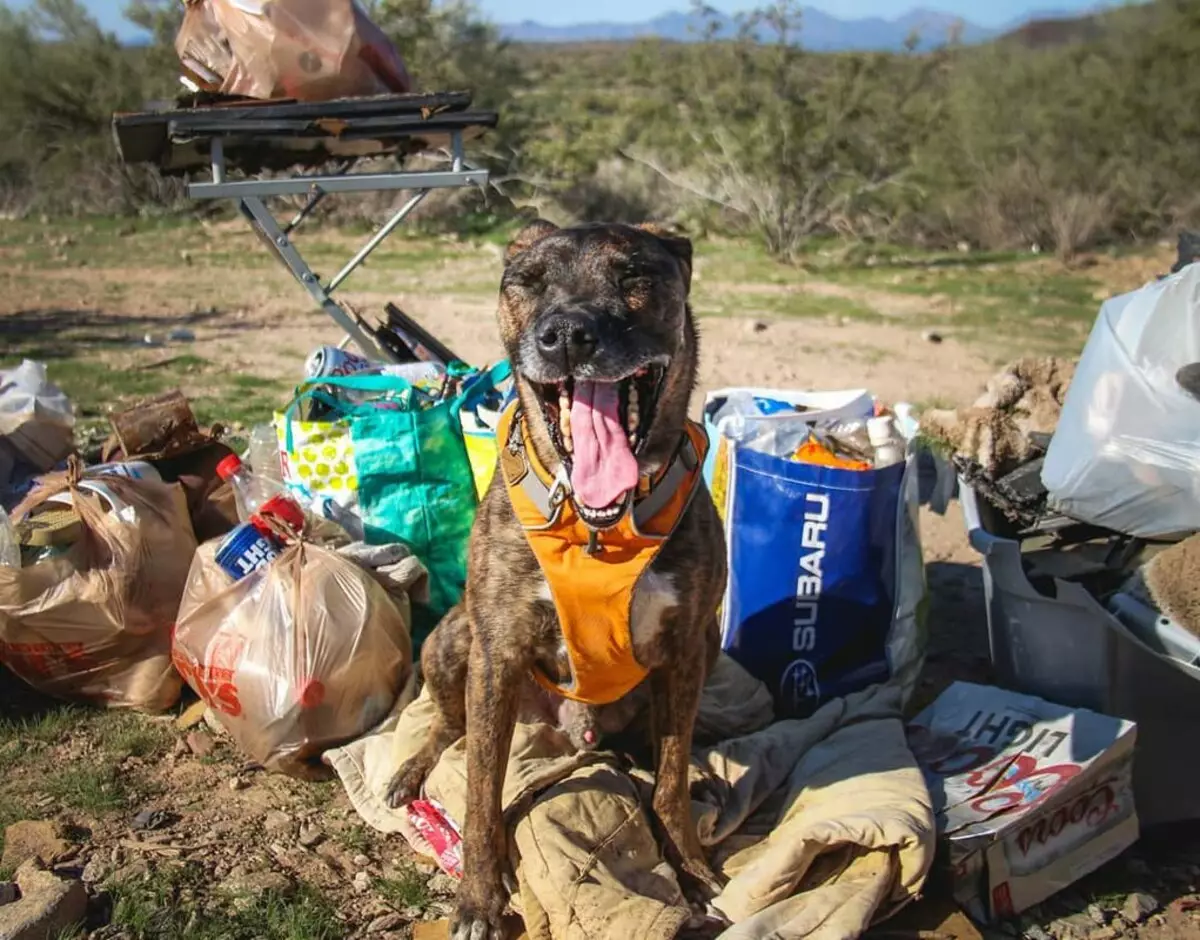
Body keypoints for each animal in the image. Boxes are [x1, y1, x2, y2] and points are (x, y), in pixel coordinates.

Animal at [384, 222, 724, 940]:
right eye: (528, 282)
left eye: (634, 276)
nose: (566, 333)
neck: (600, 525)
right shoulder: (497, 653)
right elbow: (481, 793)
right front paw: (479, 899)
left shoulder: (687, 647)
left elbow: (671, 779)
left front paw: (688, 864)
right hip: (452, 640)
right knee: (449, 727)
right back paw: (414, 768)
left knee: (660, 751)